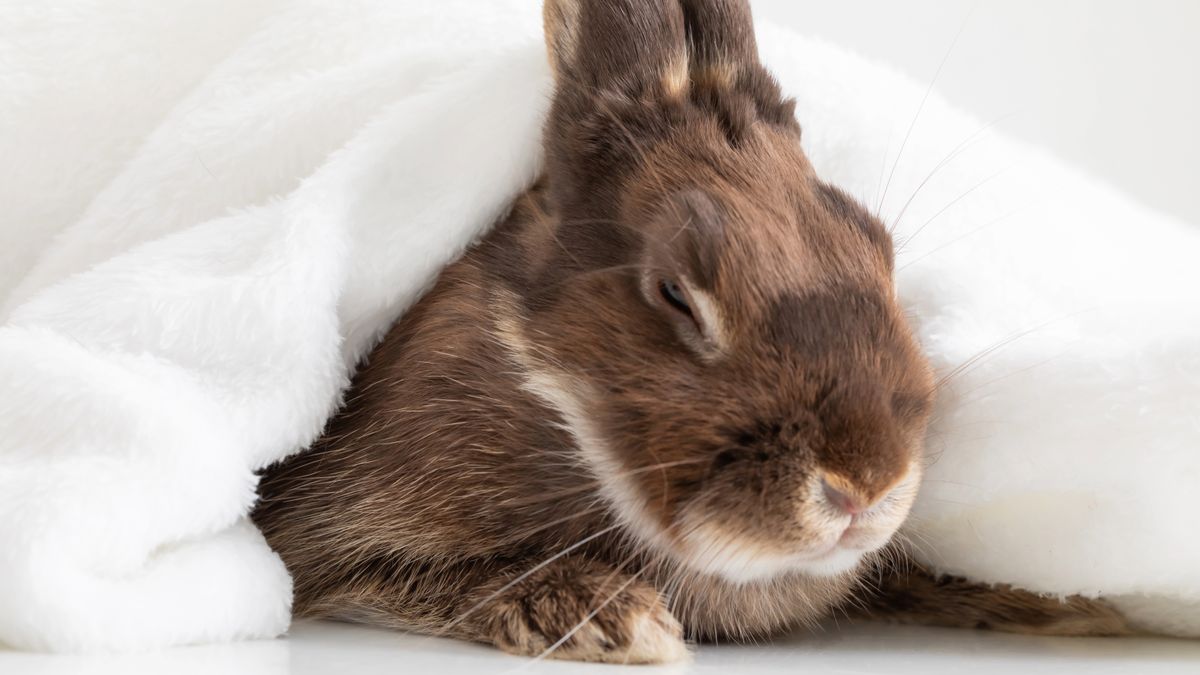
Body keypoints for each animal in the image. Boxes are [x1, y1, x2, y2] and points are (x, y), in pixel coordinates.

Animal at [253, 0, 1130, 663]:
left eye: (878, 245)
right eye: (676, 292)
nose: (865, 486)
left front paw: (1067, 608)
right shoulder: (325, 537)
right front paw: (616, 617)